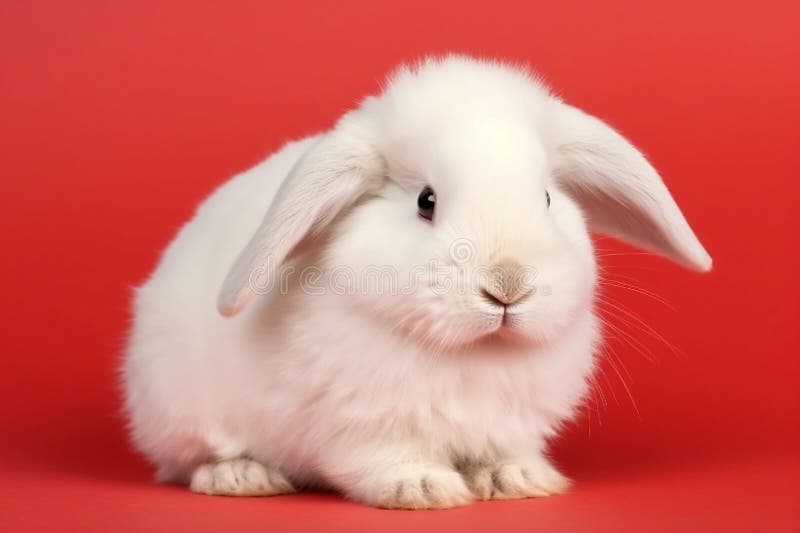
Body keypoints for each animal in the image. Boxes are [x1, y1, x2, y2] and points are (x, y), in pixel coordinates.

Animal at [122, 55, 711, 509]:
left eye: (546, 197)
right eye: (427, 201)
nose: (508, 286)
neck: (474, 354)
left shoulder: (513, 423)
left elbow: (505, 452)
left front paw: (517, 479)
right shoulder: (357, 425)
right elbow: (382, 457)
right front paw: (423, 489)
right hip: (178, 407)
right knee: (190, 462)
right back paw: (243, 476)